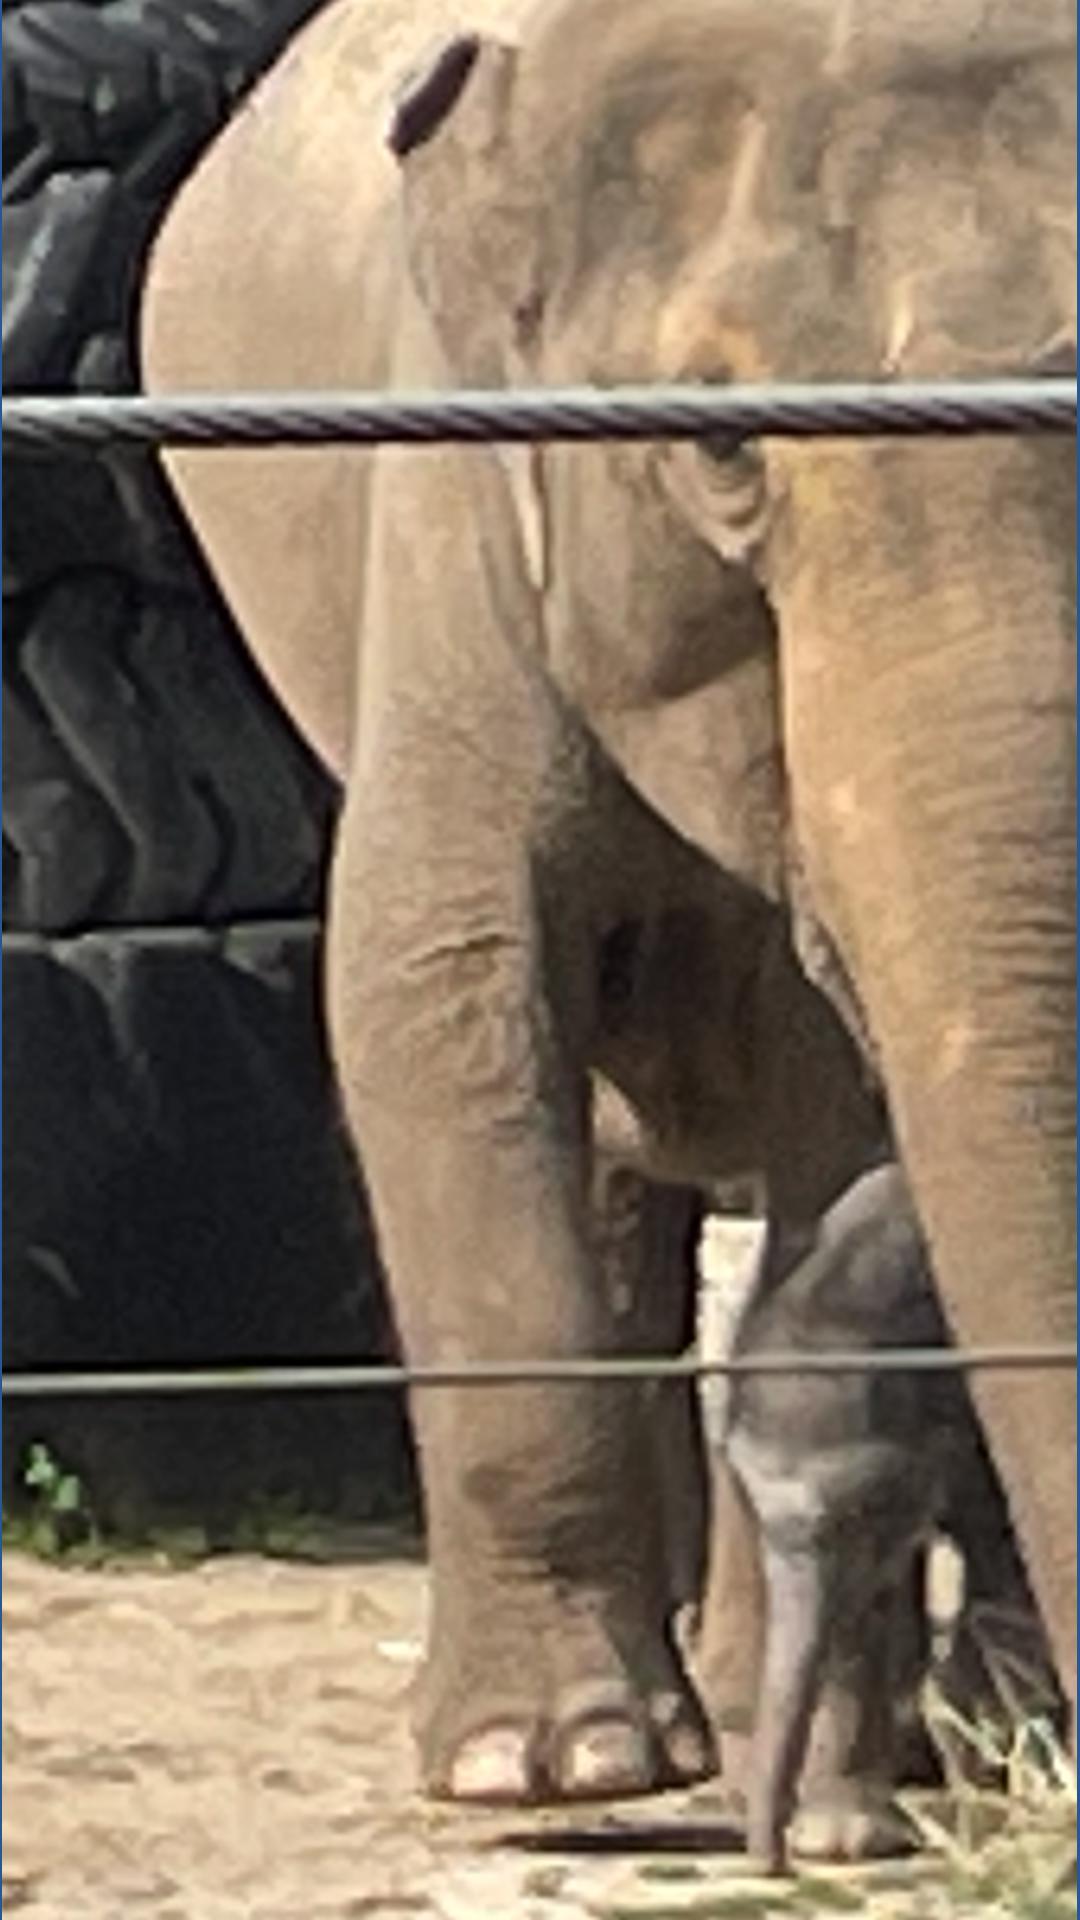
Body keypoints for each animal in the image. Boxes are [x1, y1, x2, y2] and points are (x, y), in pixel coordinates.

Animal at [140, 0, 1076, 1839]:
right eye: (715, 438)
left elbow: (836, 1076)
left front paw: (834, 1779)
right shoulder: (452, 496)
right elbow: (437, 978)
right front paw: (545, 1762)